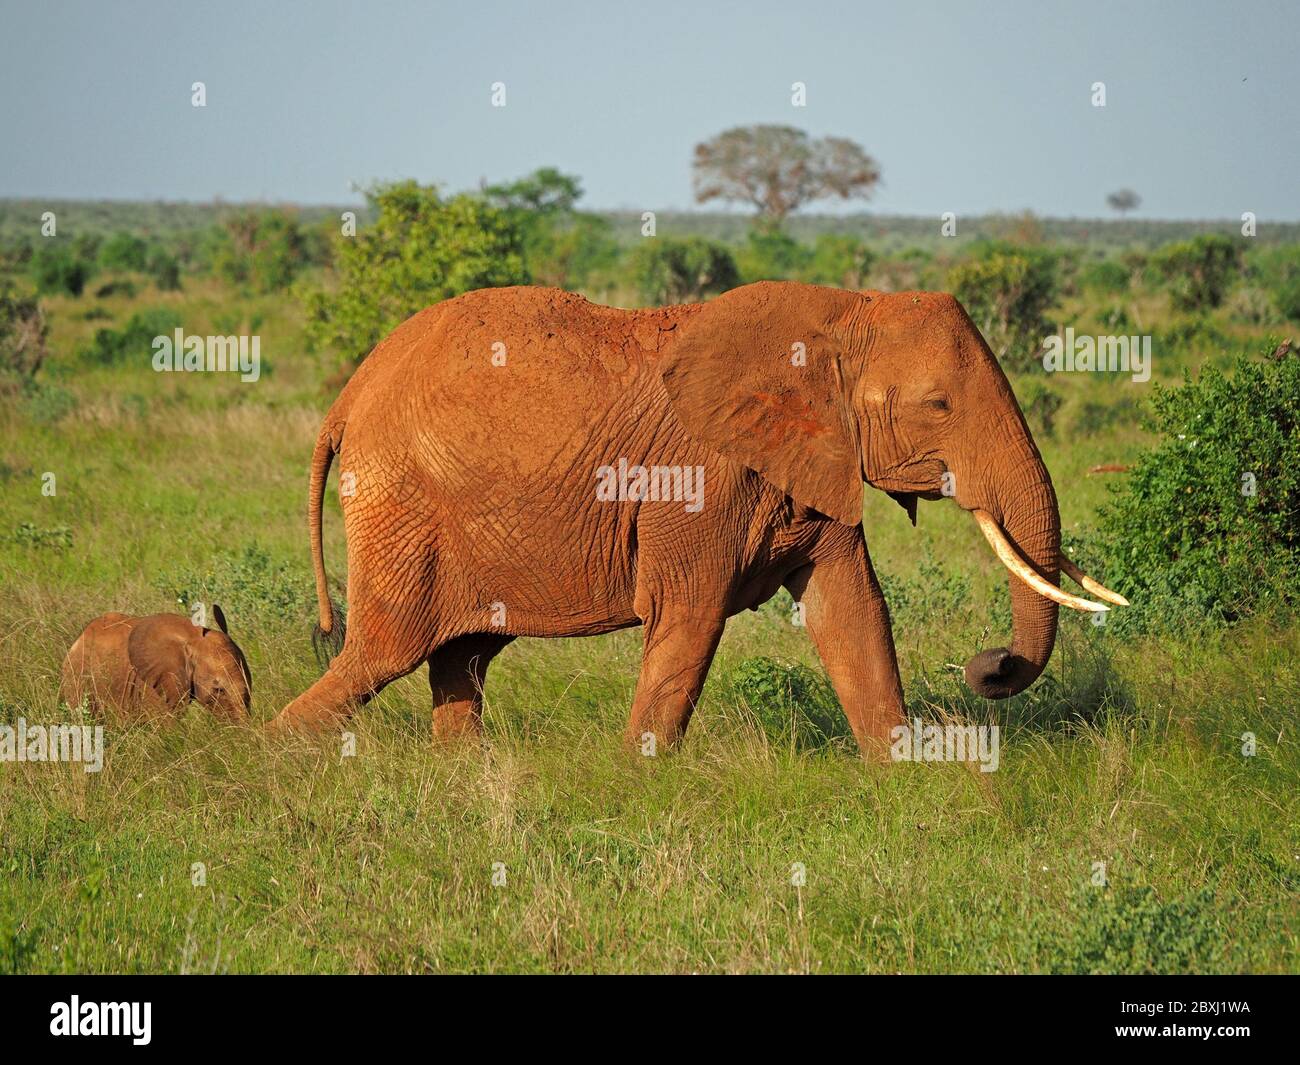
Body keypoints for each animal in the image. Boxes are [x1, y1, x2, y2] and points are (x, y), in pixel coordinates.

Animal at [269, 281, 1126, 755]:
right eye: (940, 406)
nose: (988, 667)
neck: (841, 313)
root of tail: (349, 394)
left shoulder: (811, 456)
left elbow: (851, 610)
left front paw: (901, 778)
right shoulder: (702, 475)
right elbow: (690, 617)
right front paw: (634, 780)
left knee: (461, 660)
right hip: (403, 504)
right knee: (381, 653)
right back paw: (260, 760)